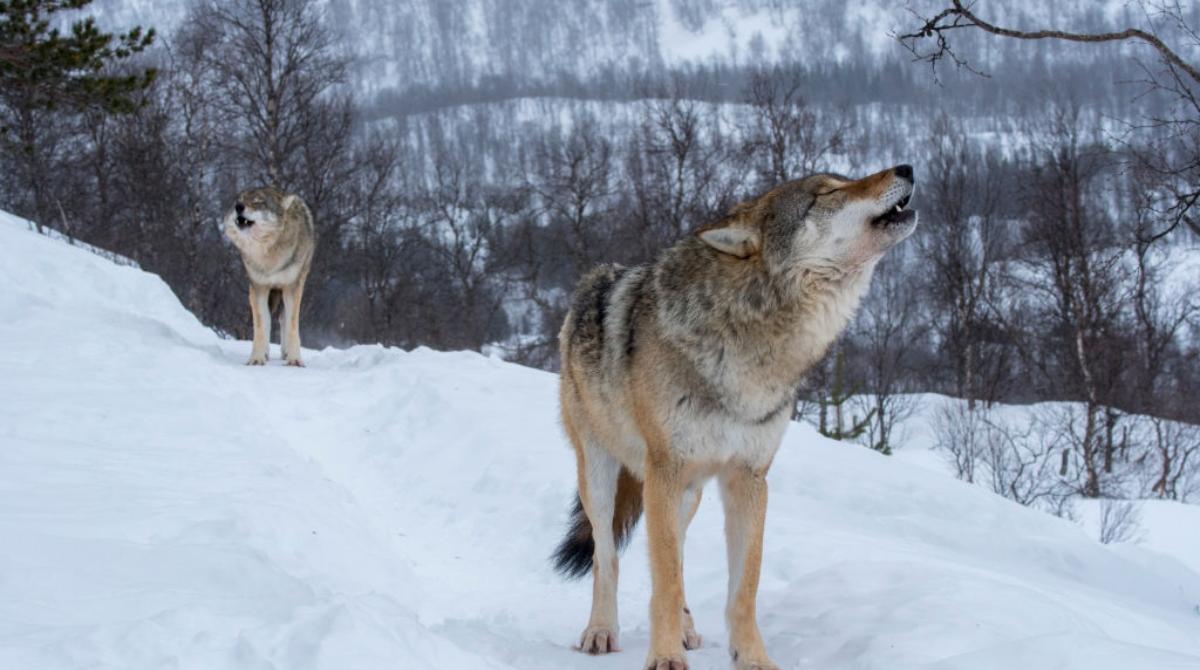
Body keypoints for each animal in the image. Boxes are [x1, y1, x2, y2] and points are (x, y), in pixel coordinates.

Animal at [222, 187, 316, 367]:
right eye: (239, 200)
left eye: (258, 202)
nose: (238, 207)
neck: (269, 254)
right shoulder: (259, 287)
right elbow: (260, 325)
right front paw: (256, 359)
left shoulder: (292, 287)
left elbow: (292, 326)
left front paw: (295, 360)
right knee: (267, 320)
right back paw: (265, 353)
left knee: (283, 318)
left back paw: (286, 353)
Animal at [553, 165, 918, 669]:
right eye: (827, 192)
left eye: (842, 179)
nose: (907, 168)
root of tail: (593, 280)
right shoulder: (665, 471)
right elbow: (662, 581)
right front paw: (664, 657)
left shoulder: (749, 478)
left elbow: (741, 589)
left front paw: (752, 658)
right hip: (604, 477)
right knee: (609, 557)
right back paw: (601, 631)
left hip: (685, 495)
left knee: (677, 558)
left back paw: (686, 628)